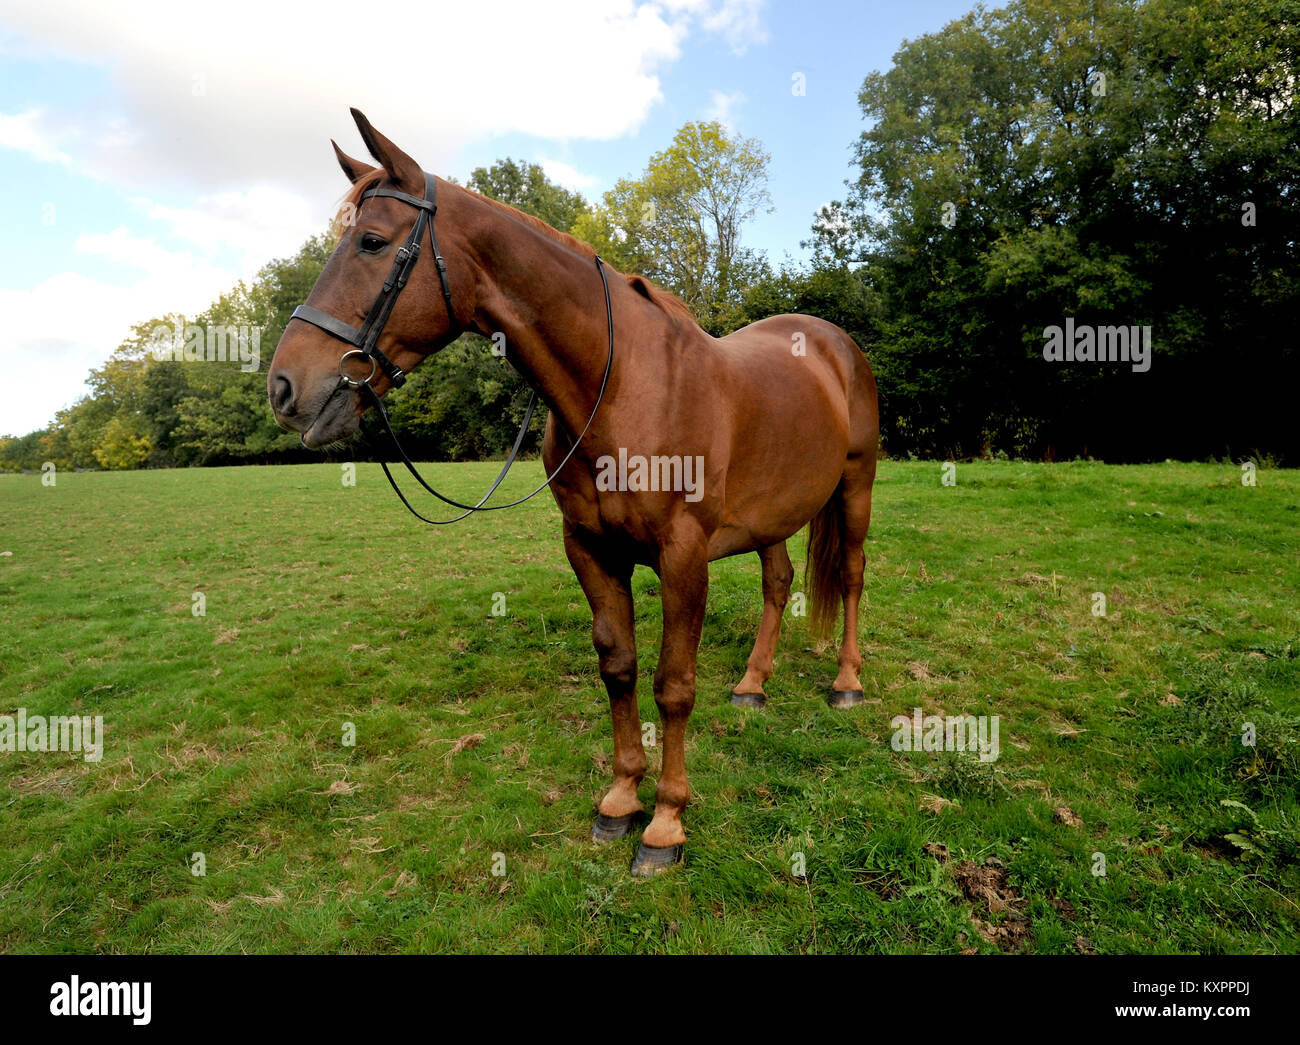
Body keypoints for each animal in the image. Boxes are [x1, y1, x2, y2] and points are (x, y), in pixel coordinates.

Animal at [267, 109, 879, 875]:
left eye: (373, 242)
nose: (284, 387)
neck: (623, 386)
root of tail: (833, 342)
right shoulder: (588, 548)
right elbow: (618, 665)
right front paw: (620, 800)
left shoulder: (683, 556)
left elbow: (673, 685)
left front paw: (666, 824)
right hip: (773, 515)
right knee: (780, 580)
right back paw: (752, 685)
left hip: (855, 486)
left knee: (850, 575)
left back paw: (847, 683)